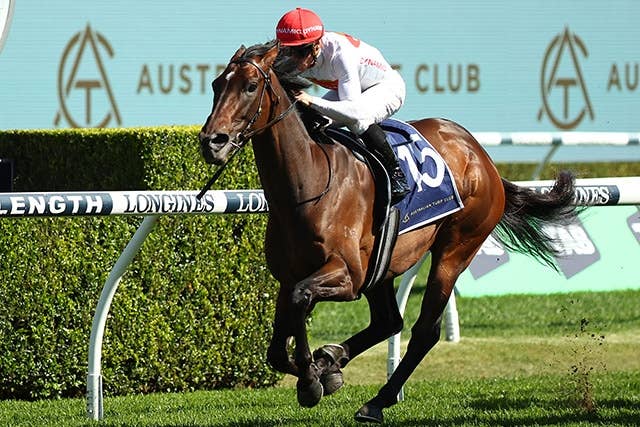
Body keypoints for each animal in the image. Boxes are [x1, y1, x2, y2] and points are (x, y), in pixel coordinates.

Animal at [198, 40, 578, 424]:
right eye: (216, 85)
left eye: (250, 86)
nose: (212, 141)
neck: (309, 184)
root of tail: (481, 156)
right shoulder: (291, 275)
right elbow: (277, 348)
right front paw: (323, 370)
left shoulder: (347, 275)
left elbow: (301, 301)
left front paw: (311, 378)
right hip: (383, 266)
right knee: (388, 321)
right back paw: (334, 358)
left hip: (456, 248)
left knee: (424, 330)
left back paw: (377, 401)